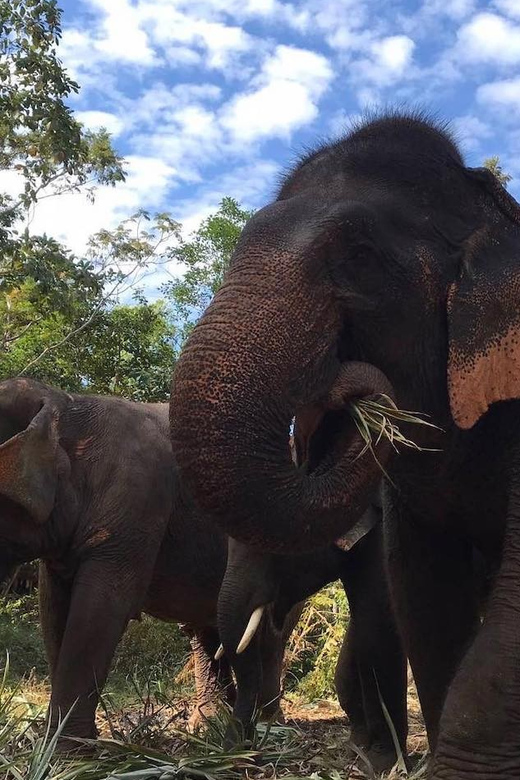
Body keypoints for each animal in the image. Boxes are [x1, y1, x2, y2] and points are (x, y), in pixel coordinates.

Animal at [0, 377, 405, 766]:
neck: (65, 404)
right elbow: (54, 609)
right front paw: (59, 750)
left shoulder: (136, 507)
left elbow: (101, 609)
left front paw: (67, 757)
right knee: (207, 631)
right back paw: (210, 724)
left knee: (270, 634)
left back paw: (267, 724)